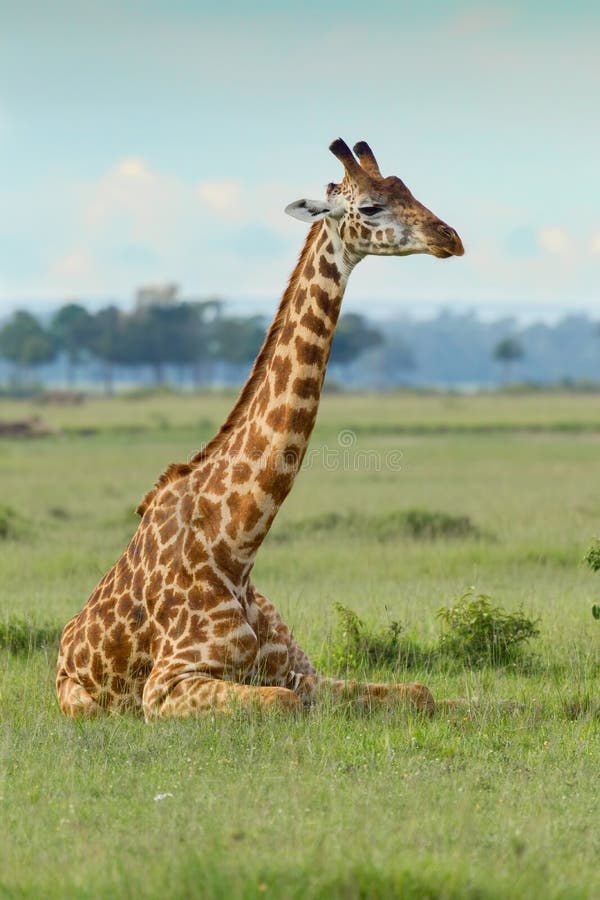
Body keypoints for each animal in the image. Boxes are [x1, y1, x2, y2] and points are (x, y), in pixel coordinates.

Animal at [56, 138, 464, 719]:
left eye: (409, 189)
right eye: (370, 207)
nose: (449, 237)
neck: (236, 544)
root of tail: (66, 639)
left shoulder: (298, 668)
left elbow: (420, 692)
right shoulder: (167, 686)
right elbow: (283, 703)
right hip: (82, 702)